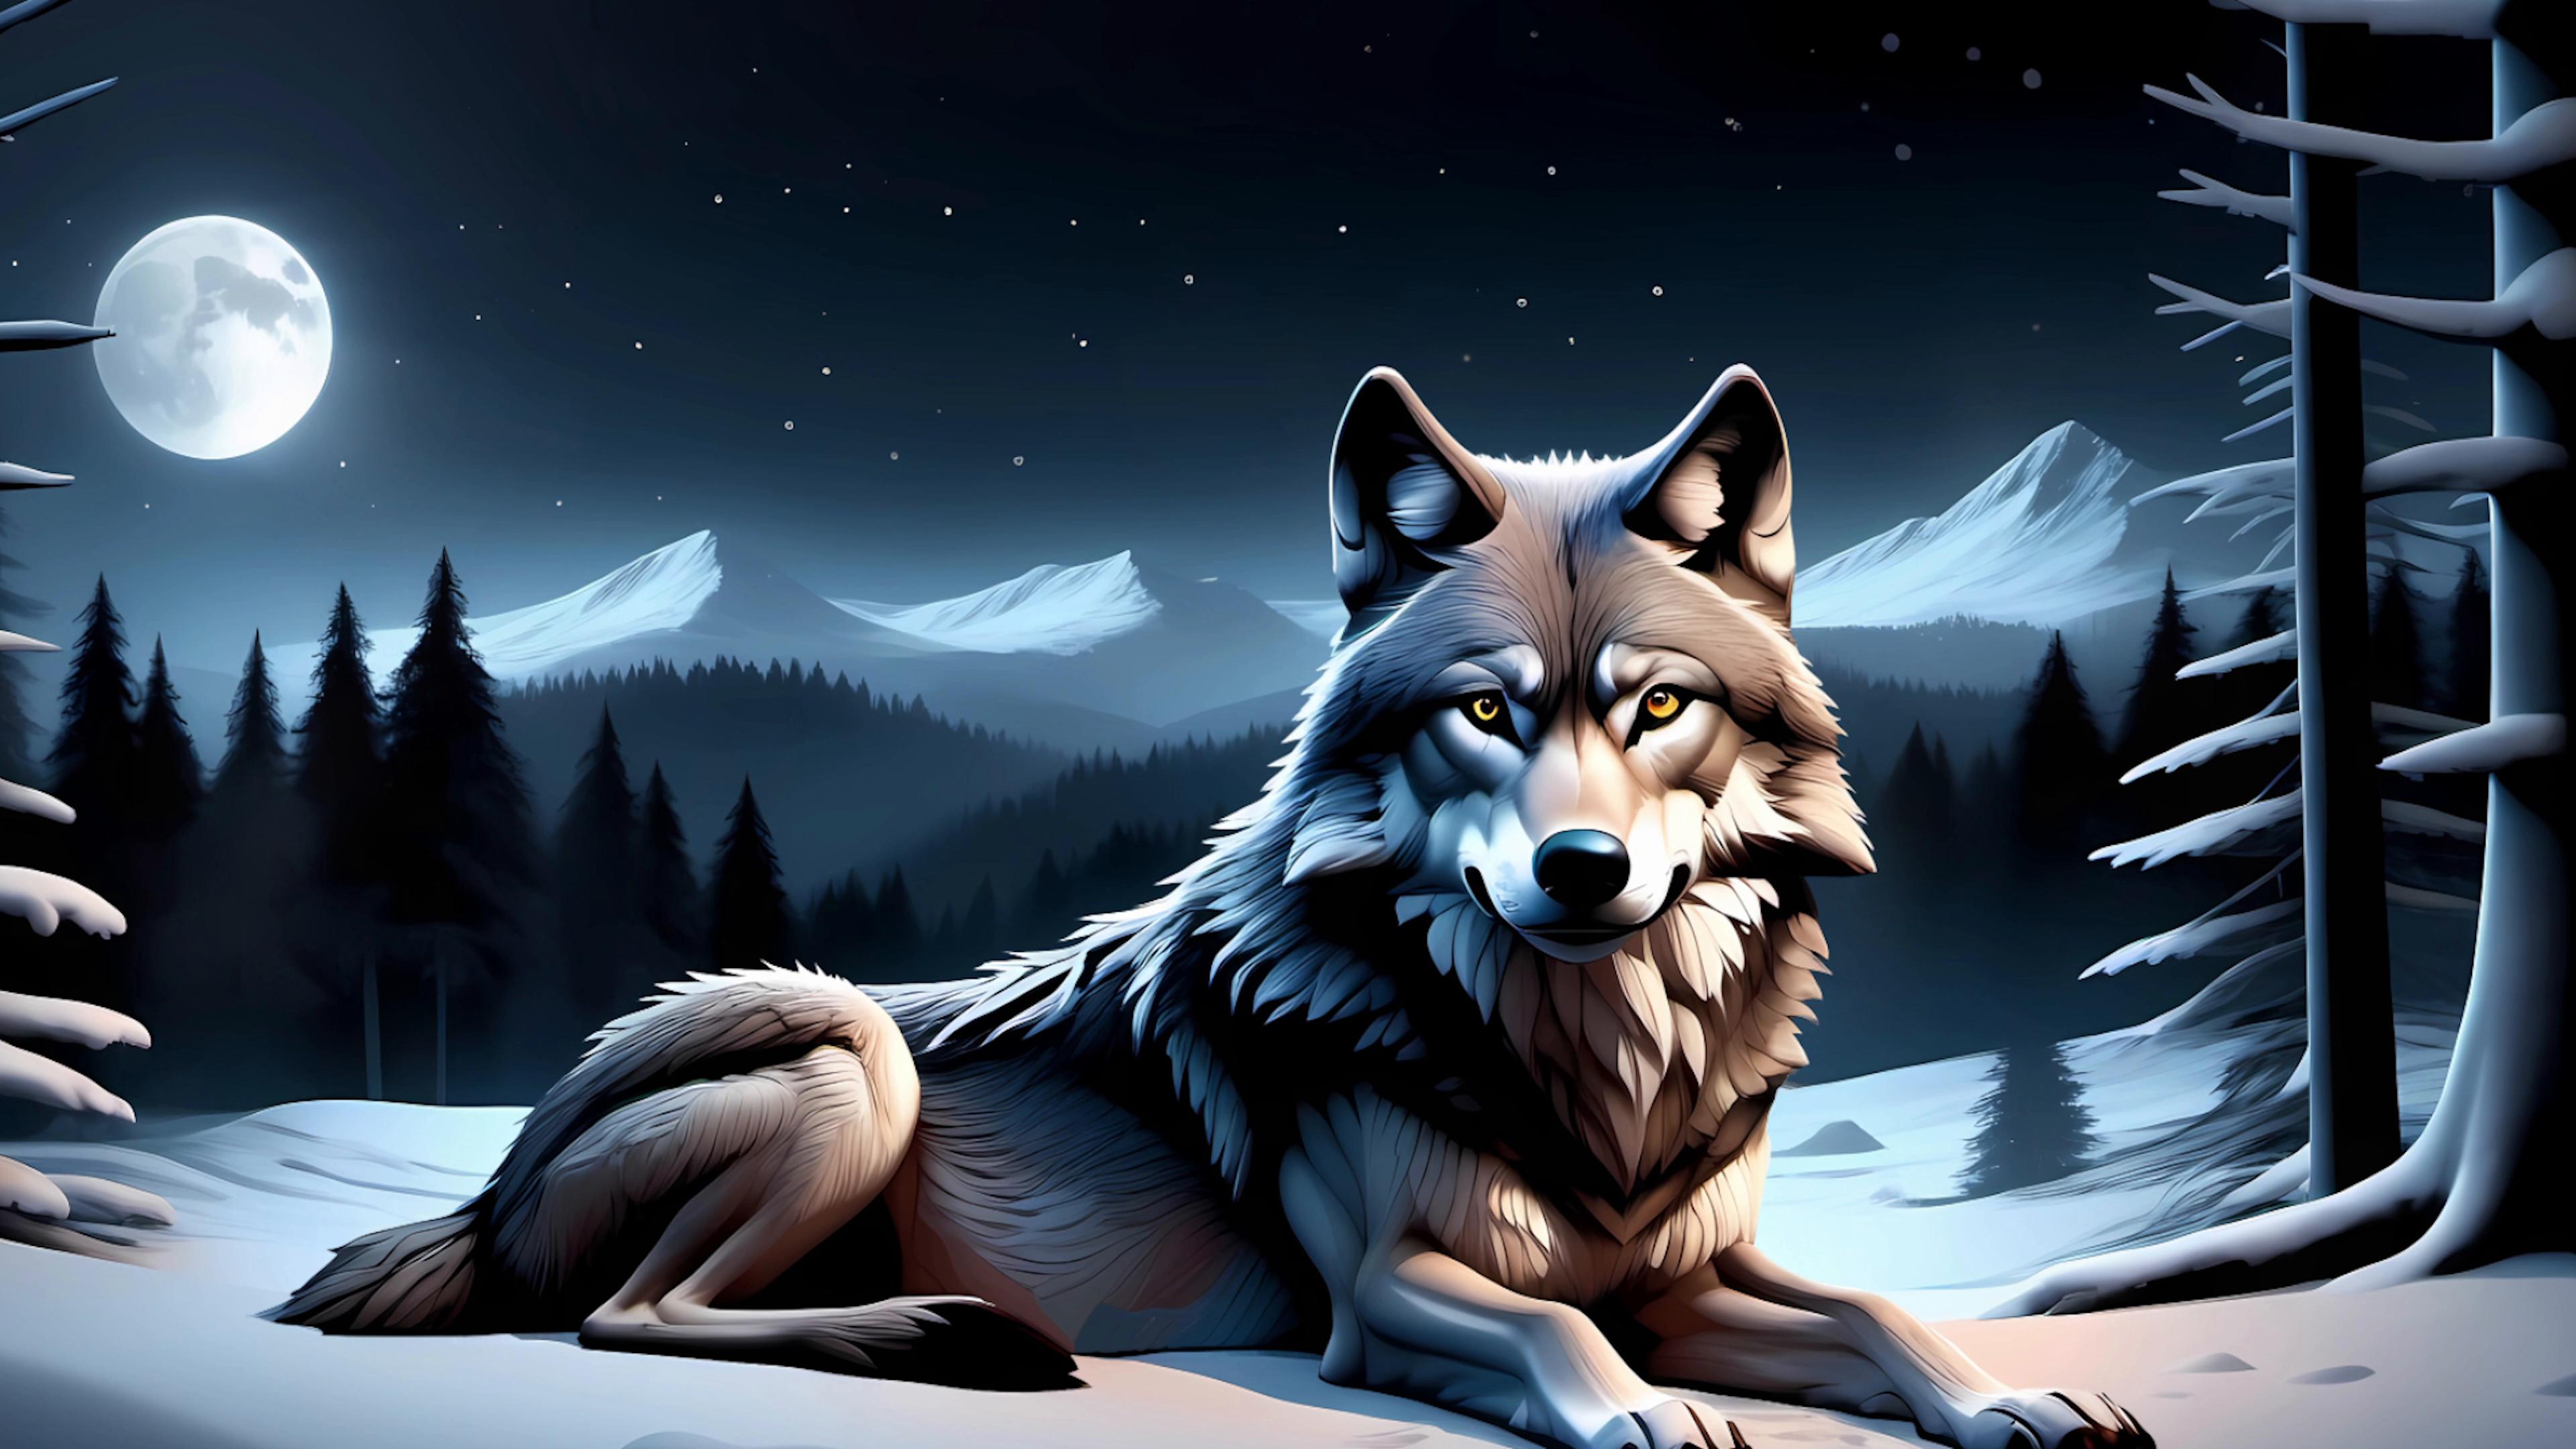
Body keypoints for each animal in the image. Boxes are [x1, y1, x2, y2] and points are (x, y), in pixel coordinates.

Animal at [272, 366, 2148, 1449]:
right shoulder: (1384, 1291)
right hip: (844, 1044)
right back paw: (941, 1331)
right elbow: (1552, 1321)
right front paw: (1643, 1420)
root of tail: (495, 1180)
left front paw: (2012, 1397)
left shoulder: (1691, 1270)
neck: (1592, 1059)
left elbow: (1878, 1313)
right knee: (632, 1314)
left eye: (1660, 706)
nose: (1579, 873)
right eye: (1486, 709)